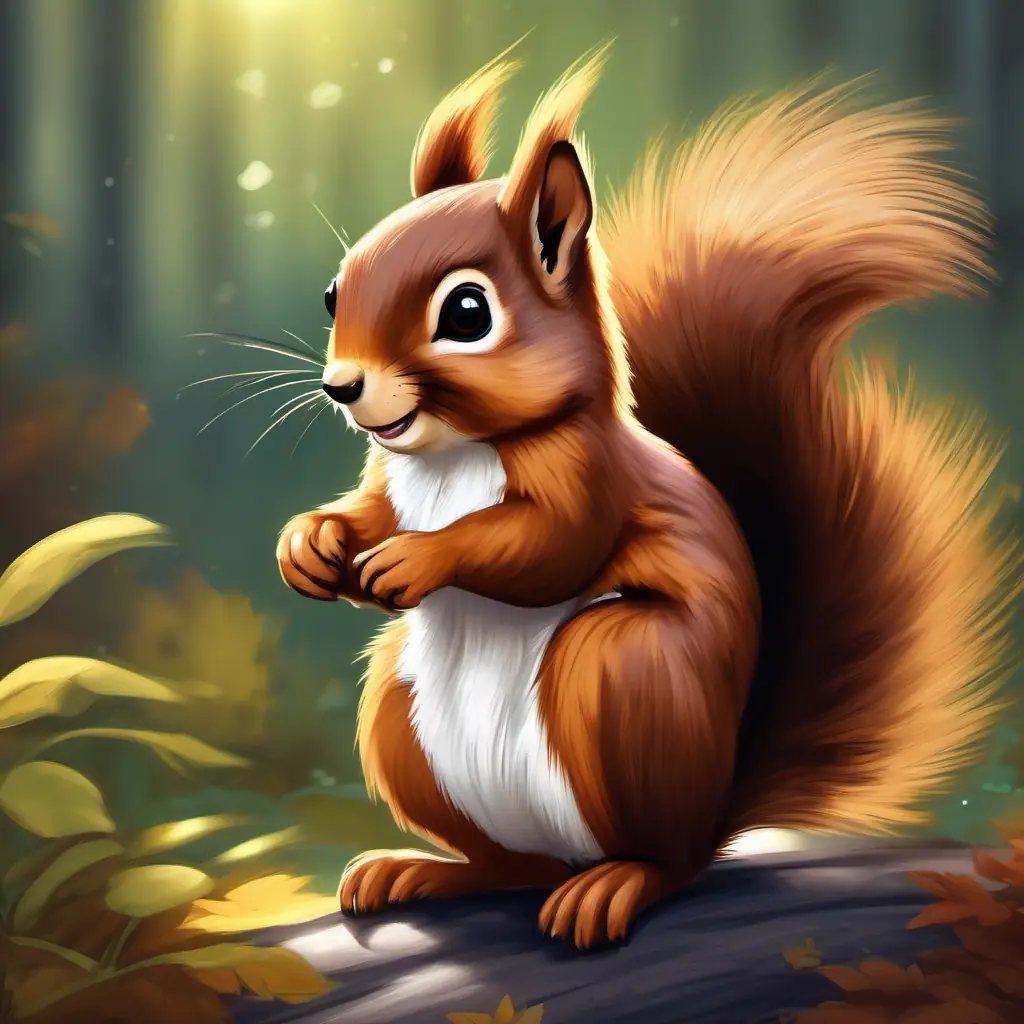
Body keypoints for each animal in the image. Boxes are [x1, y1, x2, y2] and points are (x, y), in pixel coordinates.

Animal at [276, 45, 1019, 949]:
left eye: (467, 311)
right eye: (333, 292)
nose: (342, 386)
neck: (456, 455)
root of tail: (715, 808)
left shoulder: (591, 480)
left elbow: (547, 548)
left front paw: (418, 558)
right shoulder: (392, 483)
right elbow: (367, 515)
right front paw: (308, 543)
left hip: (621, 673)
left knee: (663, 860)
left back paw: (614, 886)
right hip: (400, 712)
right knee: (509, 865)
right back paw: (419, 869)